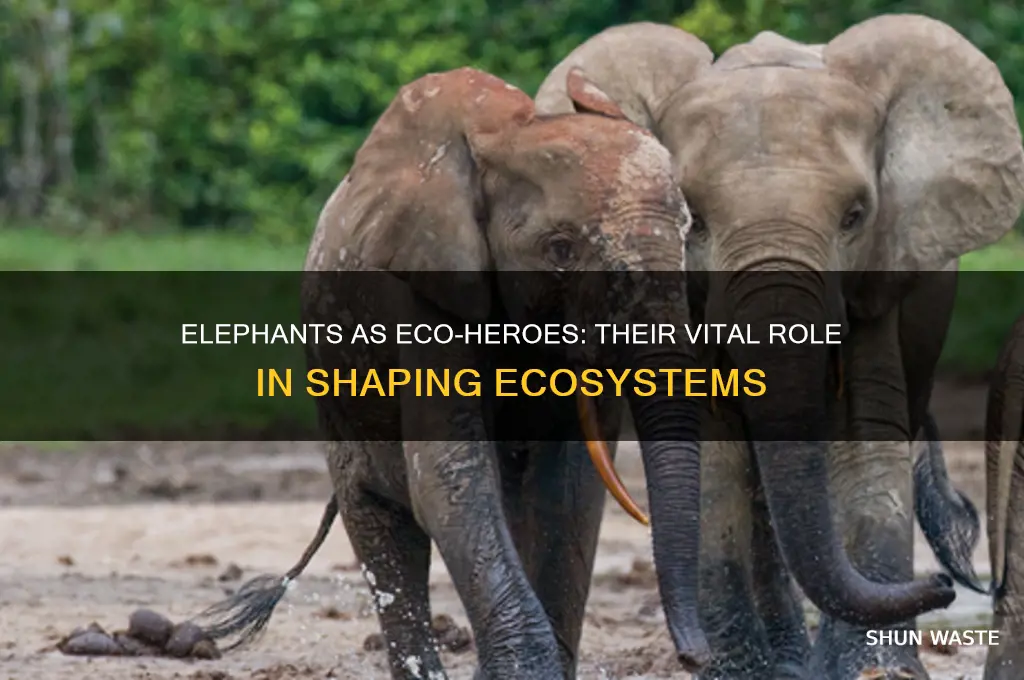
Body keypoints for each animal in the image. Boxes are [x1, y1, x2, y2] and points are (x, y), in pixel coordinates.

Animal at [186, 65, 715, 680]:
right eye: (560, 248)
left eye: (688, 234)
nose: (695, 656)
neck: (508, 138)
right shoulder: (422, 290)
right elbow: (449, 472)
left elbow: (569, 483)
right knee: (380, 520)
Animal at [534, 14, 1024, 680]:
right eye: (692, 220)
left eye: (855, 215)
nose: (945, 588)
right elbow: (714, 453)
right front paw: (735, 671)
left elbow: (863, 435)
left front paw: (876, 670)